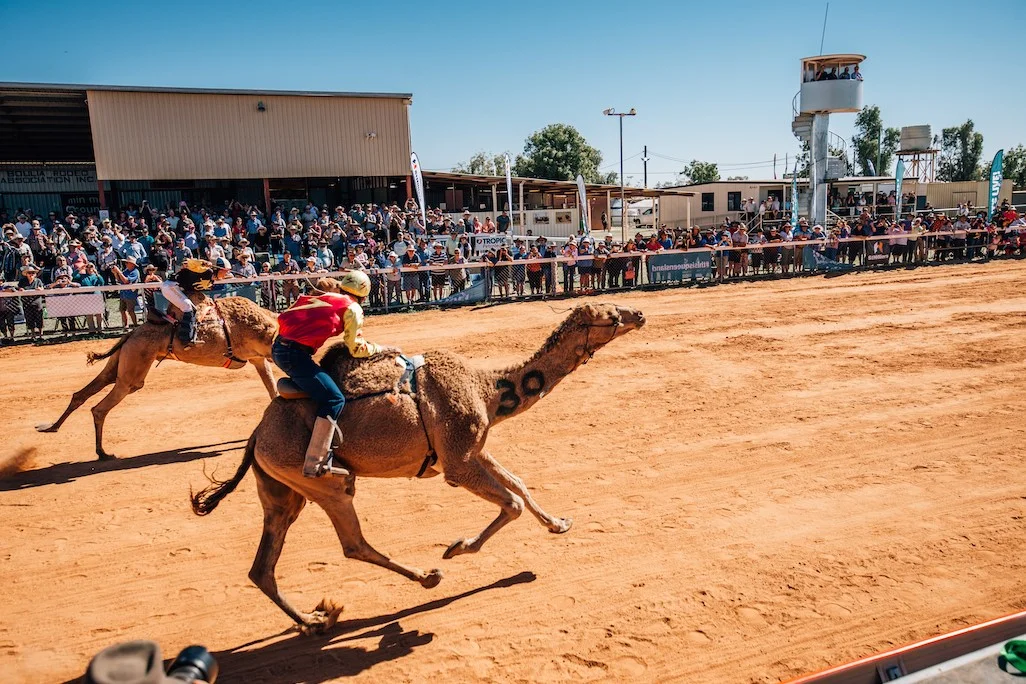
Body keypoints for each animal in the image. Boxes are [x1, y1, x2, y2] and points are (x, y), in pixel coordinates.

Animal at [37, 293, 280, 460]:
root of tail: (130, 334)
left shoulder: (258, 358)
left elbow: (273, 392)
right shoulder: (265, 350)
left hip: (121, 361)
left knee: (85, 392)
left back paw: (51, 427)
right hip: (134, 368)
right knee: (101, 407)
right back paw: (102, 452)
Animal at [191, 302, 645, 633]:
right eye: (609, 316)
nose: (638, 314)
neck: (487, 390)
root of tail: (256, 435)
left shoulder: (470, 449)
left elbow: (519, 484)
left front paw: (559, 524)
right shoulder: (458, 463)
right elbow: (512, 503)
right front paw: (458, 548)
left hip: (280, 489)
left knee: (263, 567)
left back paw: (316, 619)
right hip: (317, 481)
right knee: (351, 541)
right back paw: (426, 577)